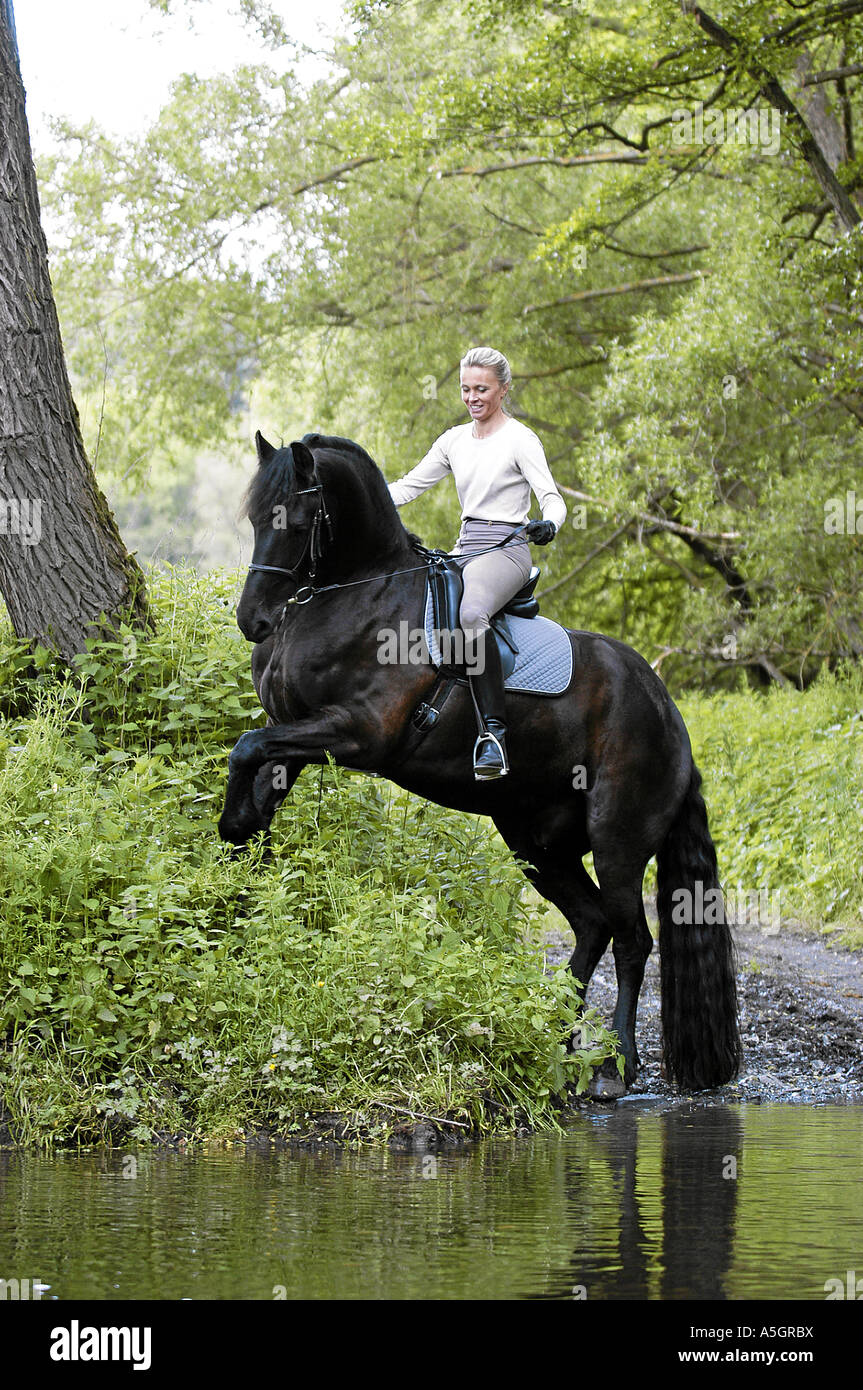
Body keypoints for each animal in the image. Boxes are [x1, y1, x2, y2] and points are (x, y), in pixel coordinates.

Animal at [219, 430, 741, 1098]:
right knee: (592, 925)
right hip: (536, 842)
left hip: (616, 840)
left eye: (303, 520)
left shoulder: (358, 733)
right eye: (257, 518)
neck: (358, 593)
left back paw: (614, 1069)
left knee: (631, 940)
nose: (253, 621)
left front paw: (234, 840)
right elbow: (257, 761)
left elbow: (248, 745)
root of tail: (667, 711)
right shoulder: (303, 733)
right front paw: (239, 846)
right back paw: (555, 1048)